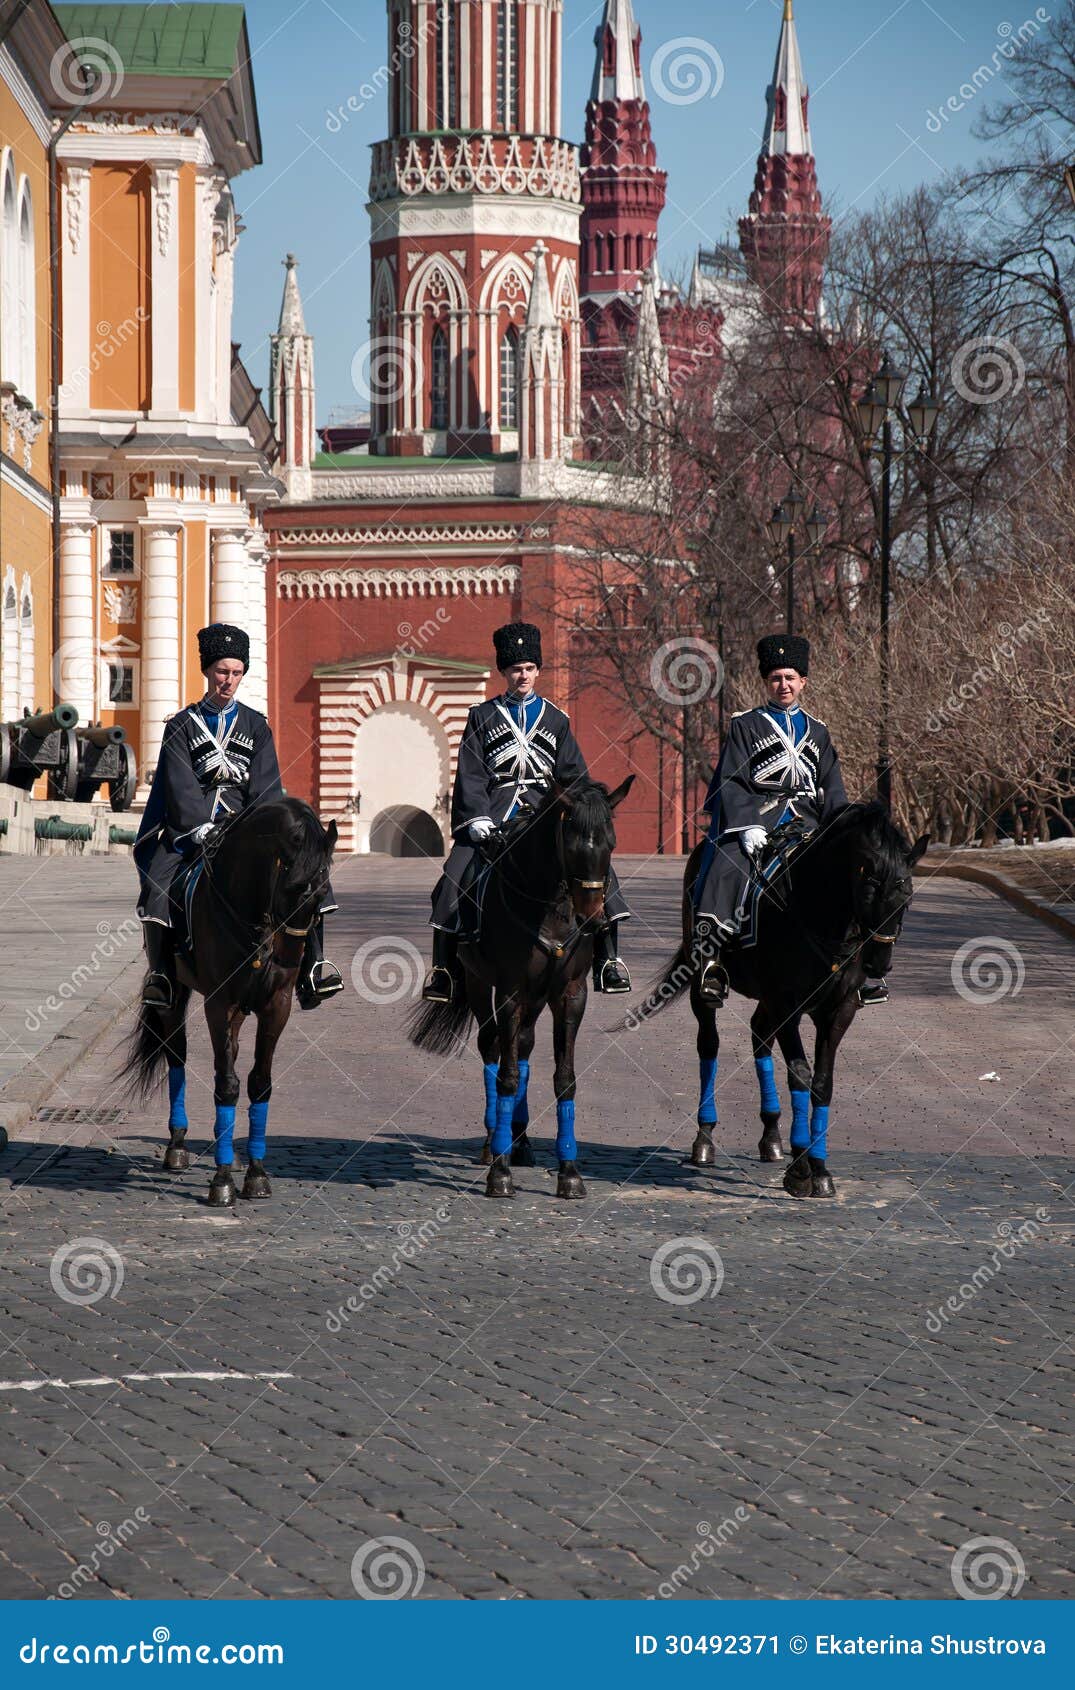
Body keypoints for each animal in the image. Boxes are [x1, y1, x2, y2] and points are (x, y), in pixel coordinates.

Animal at [119, 797, 338, 1207]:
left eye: (321, 895)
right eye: (294, 887)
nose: (289, 958)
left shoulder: (276, 1005)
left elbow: (258, 1082)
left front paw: (256, 1173)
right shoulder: (218, 1003)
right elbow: (227, 1084)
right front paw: (221, 1180)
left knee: (231, 1055)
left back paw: (231, 1153)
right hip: (176, 995)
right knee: (177, 1055)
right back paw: (178, 1144)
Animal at [407, 776, 634, 1200]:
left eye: (612, 843)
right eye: (572, 844)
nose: (594, 921)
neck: (551, 907)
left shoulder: (570, 994)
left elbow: (564, 1079)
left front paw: (569, 1172)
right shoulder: (510, 991)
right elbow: (507, 1075)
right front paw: (500, 1173)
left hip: (537, 996)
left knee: (524, 1046)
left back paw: (520, 1140)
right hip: (481, 985)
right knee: (493, 1047)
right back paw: (492, 1142)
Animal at [641, 802, 927, 1199]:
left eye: (908, 896)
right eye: (870, 889)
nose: (878, 963)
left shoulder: (838, 1011)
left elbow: (822, 1083)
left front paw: (818, 1168)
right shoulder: (788, 1004)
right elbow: (801, 1076)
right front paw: (801, 1169)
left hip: (769, 1002)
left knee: (759, 1033)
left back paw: (771, 1135)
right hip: (708, 987)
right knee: (709, 1045)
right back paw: (705, 1137)